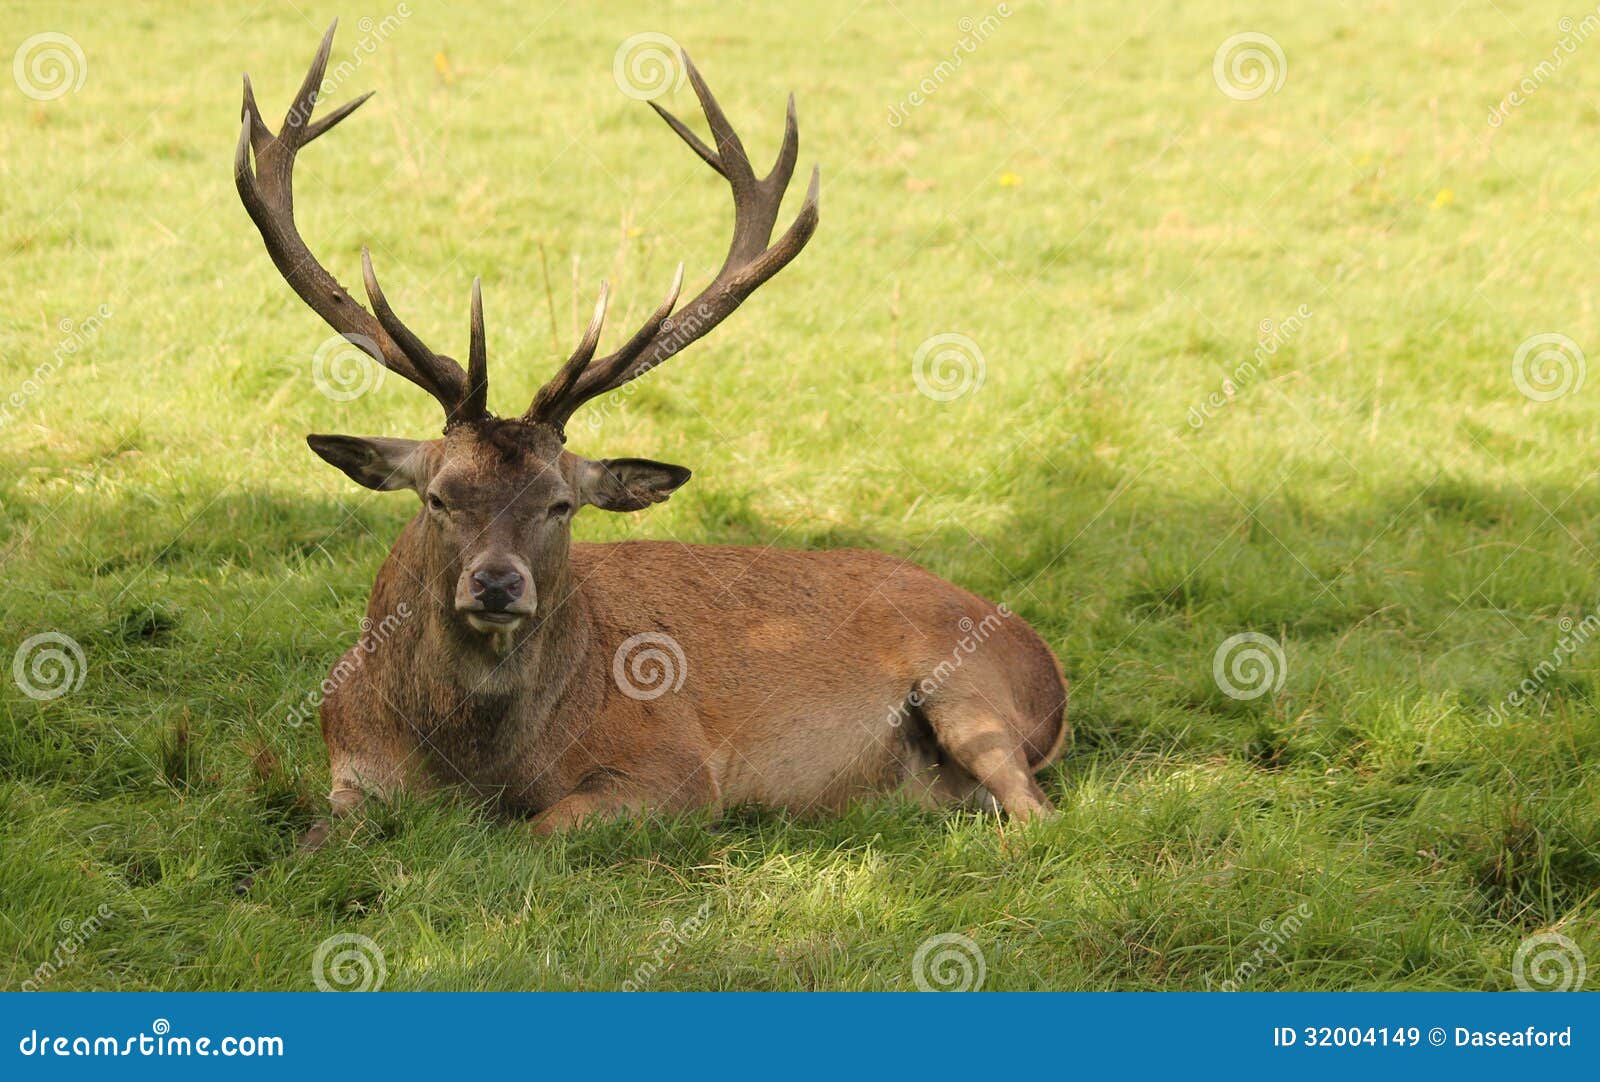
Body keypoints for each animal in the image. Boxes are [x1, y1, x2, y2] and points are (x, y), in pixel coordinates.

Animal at [234, 23, 1068, 863]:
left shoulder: (675, 768)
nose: (497, 584)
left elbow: (532, 832)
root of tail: (1047, 666)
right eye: (438, 497)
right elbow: (311, 838)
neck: (471, 769)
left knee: (1037, 811)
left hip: (972, 690)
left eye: (560, 504)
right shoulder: (347, 764)